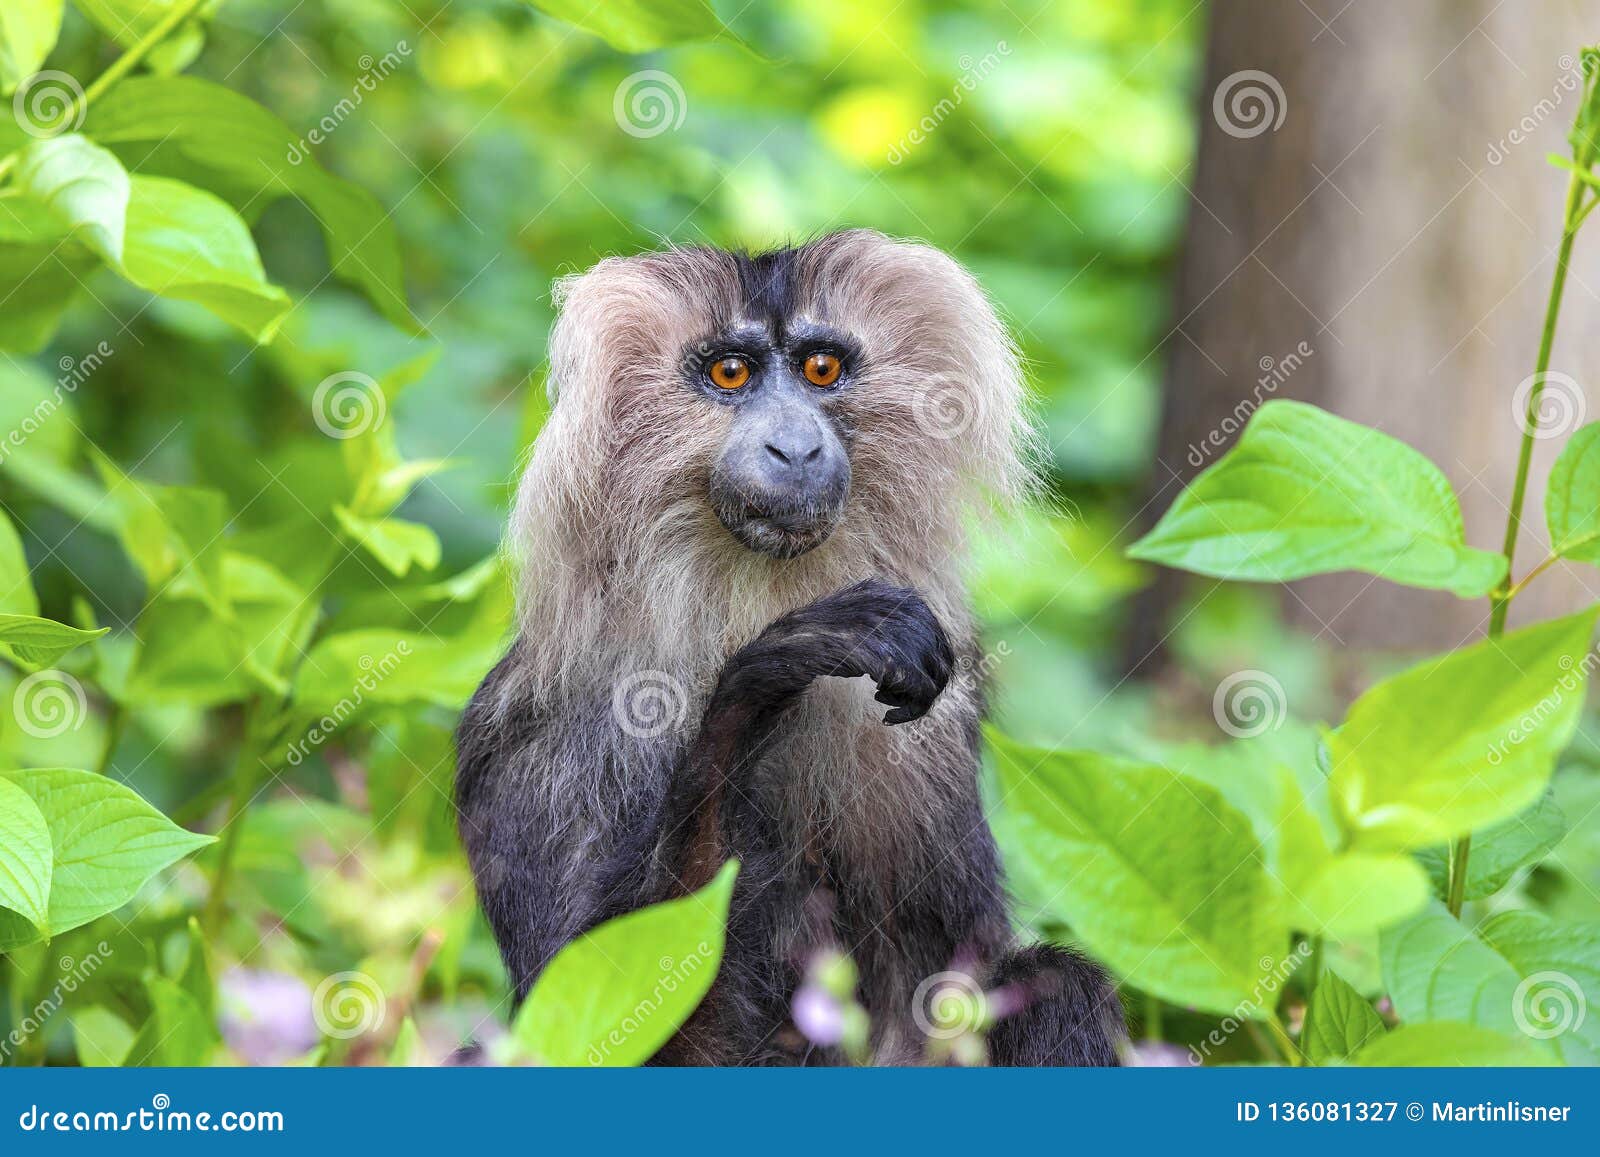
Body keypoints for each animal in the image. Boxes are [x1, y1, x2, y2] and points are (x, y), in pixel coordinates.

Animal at [455, 229, 1125, 1065]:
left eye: (821, 369)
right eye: (730, 373)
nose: (796, 448)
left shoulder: (936, 721)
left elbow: (945, 997)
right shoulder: (537, 726)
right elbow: (598, 1023)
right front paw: (772, 669)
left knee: (1061, 987)